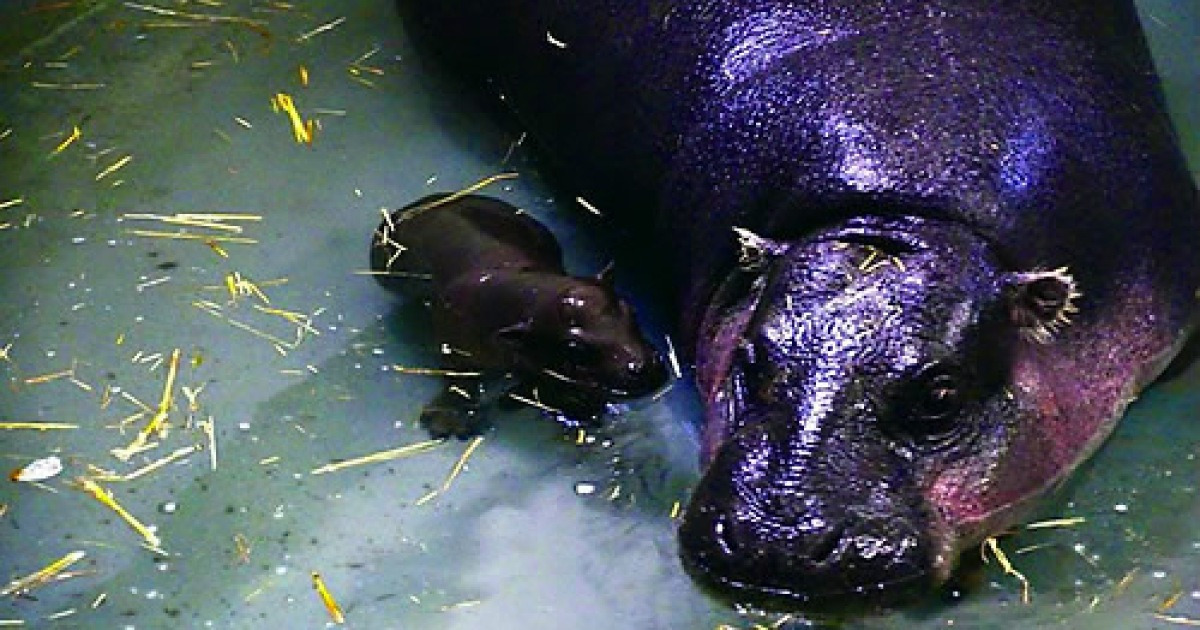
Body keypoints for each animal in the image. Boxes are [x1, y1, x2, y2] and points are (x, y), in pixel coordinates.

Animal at [371, 193, 668, 437]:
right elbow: (460, 378)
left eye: (630, 310)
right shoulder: (456, 342)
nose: (644, 367)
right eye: (575, 348)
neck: (530, 294)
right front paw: (449, 421)